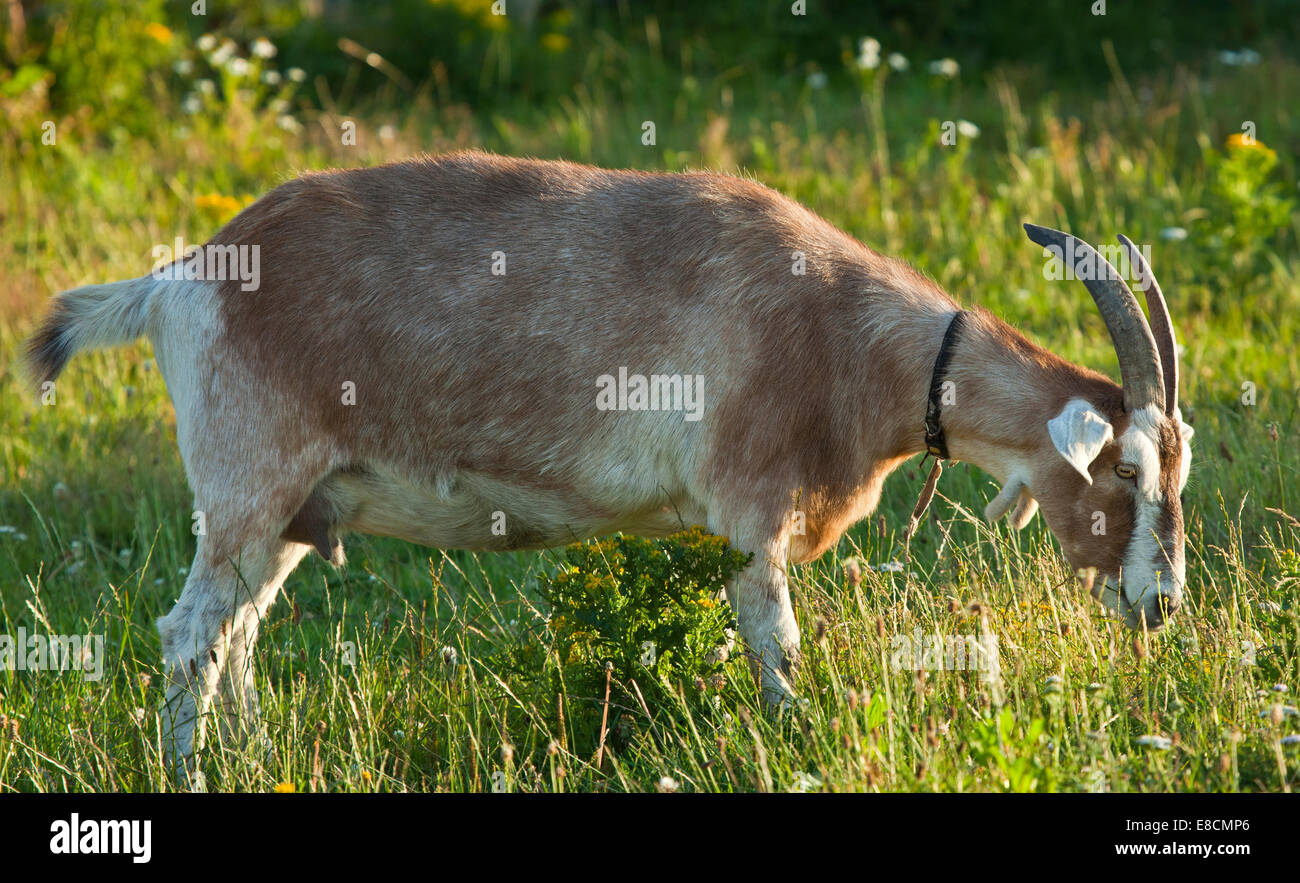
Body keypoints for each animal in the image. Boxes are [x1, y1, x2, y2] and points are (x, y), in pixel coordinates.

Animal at [27, 151, 1192, 777]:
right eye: (1129, 470)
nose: (1163, 603)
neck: (838, 324)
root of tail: (185, 276)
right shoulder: (750, 514)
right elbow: (778, 650)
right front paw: (793, 746)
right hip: (245, 490)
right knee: (188, 634)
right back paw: (191, 773)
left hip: (286, 518)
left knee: (237, 633)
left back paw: (253, 760)